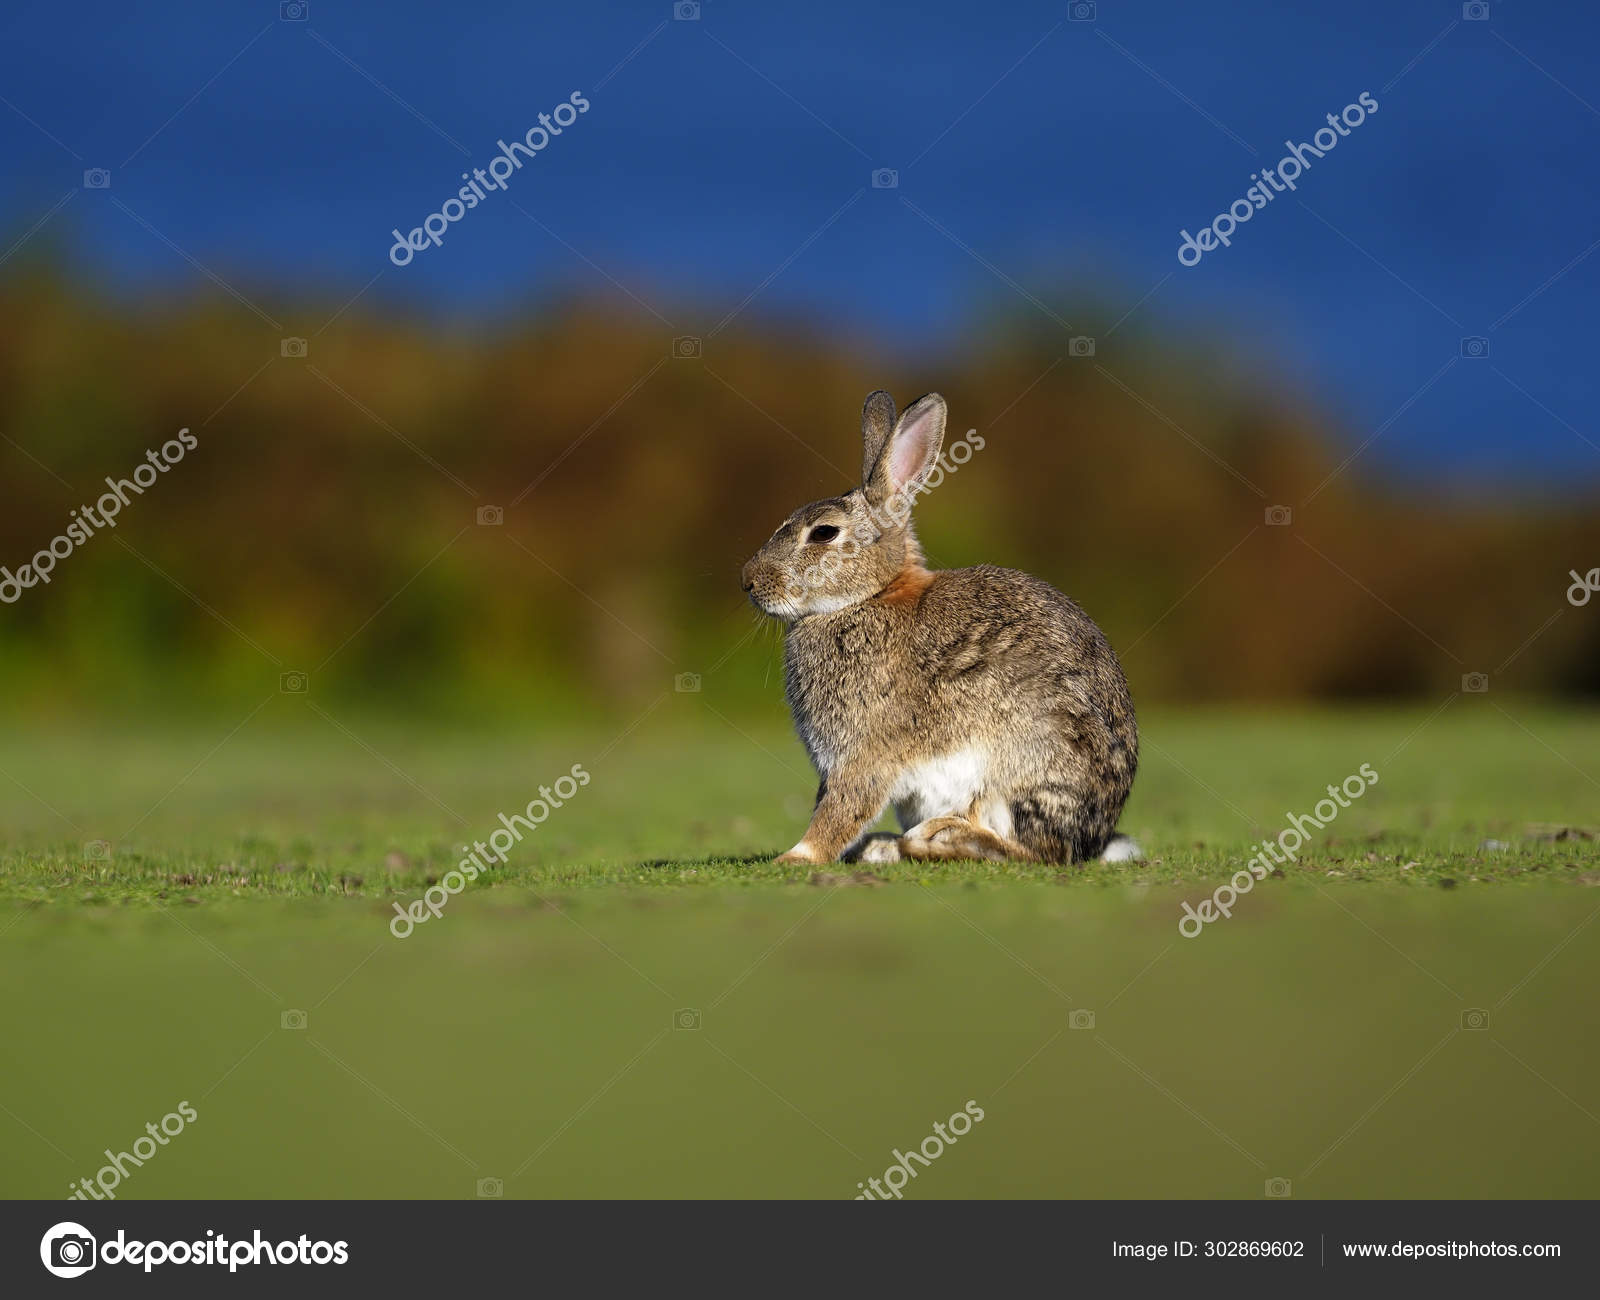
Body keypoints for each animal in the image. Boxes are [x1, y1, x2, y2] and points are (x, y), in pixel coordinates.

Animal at [740, 390, 1139, 867]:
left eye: (823, 533)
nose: (748, 581)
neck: (870, 596)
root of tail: (1094, 838)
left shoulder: (866, 753)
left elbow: (841, 808)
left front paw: (796, 857)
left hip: (1021, 770)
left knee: (1034, 852)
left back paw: (938, 837)